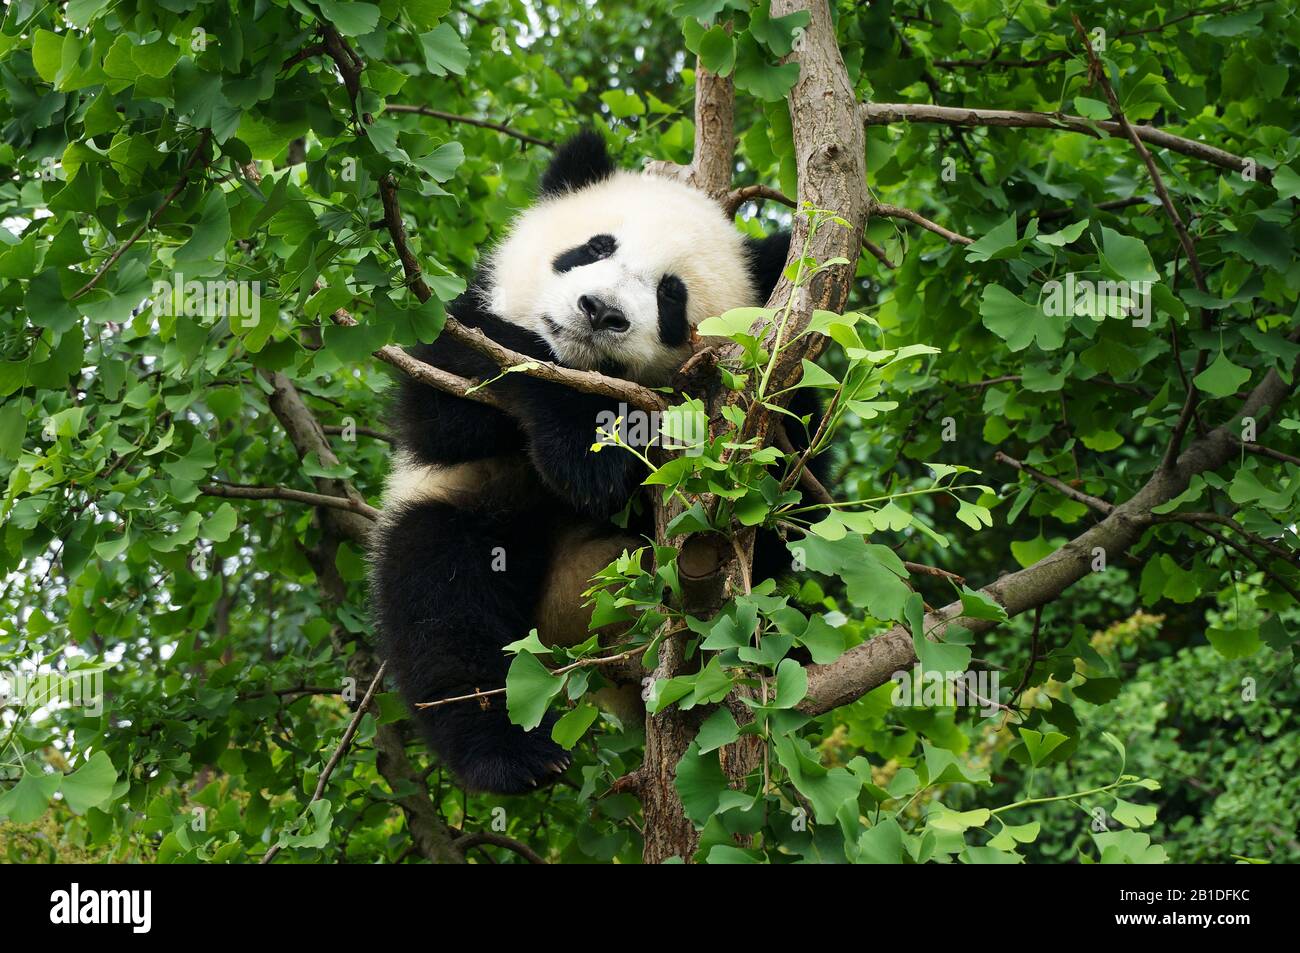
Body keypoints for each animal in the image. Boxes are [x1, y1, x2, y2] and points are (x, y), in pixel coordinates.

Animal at [370, 131, 804, 795]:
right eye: (595, 247)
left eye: (671, 295)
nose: (600, 311)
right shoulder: (460, 333)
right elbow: (450, 406)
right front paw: (586, 451)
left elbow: (780, 492)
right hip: (465, 512)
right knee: (442, 608)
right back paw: (514, 754)